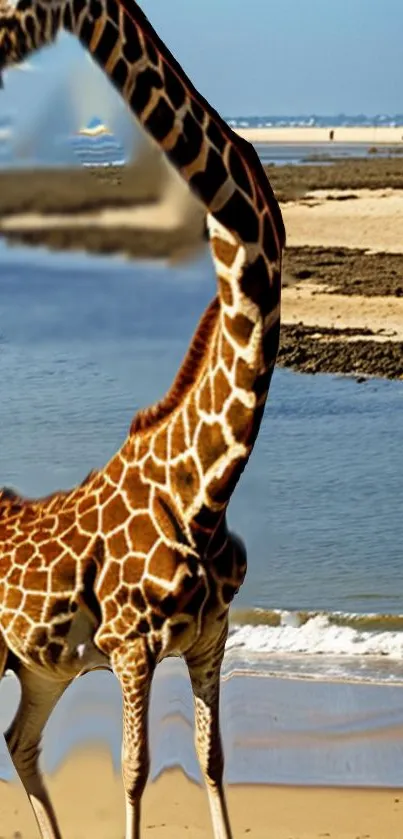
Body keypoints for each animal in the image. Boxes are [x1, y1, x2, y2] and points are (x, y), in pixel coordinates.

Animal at [0, 2, 285, 837]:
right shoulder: (130, 644)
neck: (204, 486)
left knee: (19, 739)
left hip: (41, 664)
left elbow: (212, 761)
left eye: (13, 6)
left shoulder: (209, 637)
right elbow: (132, 772)